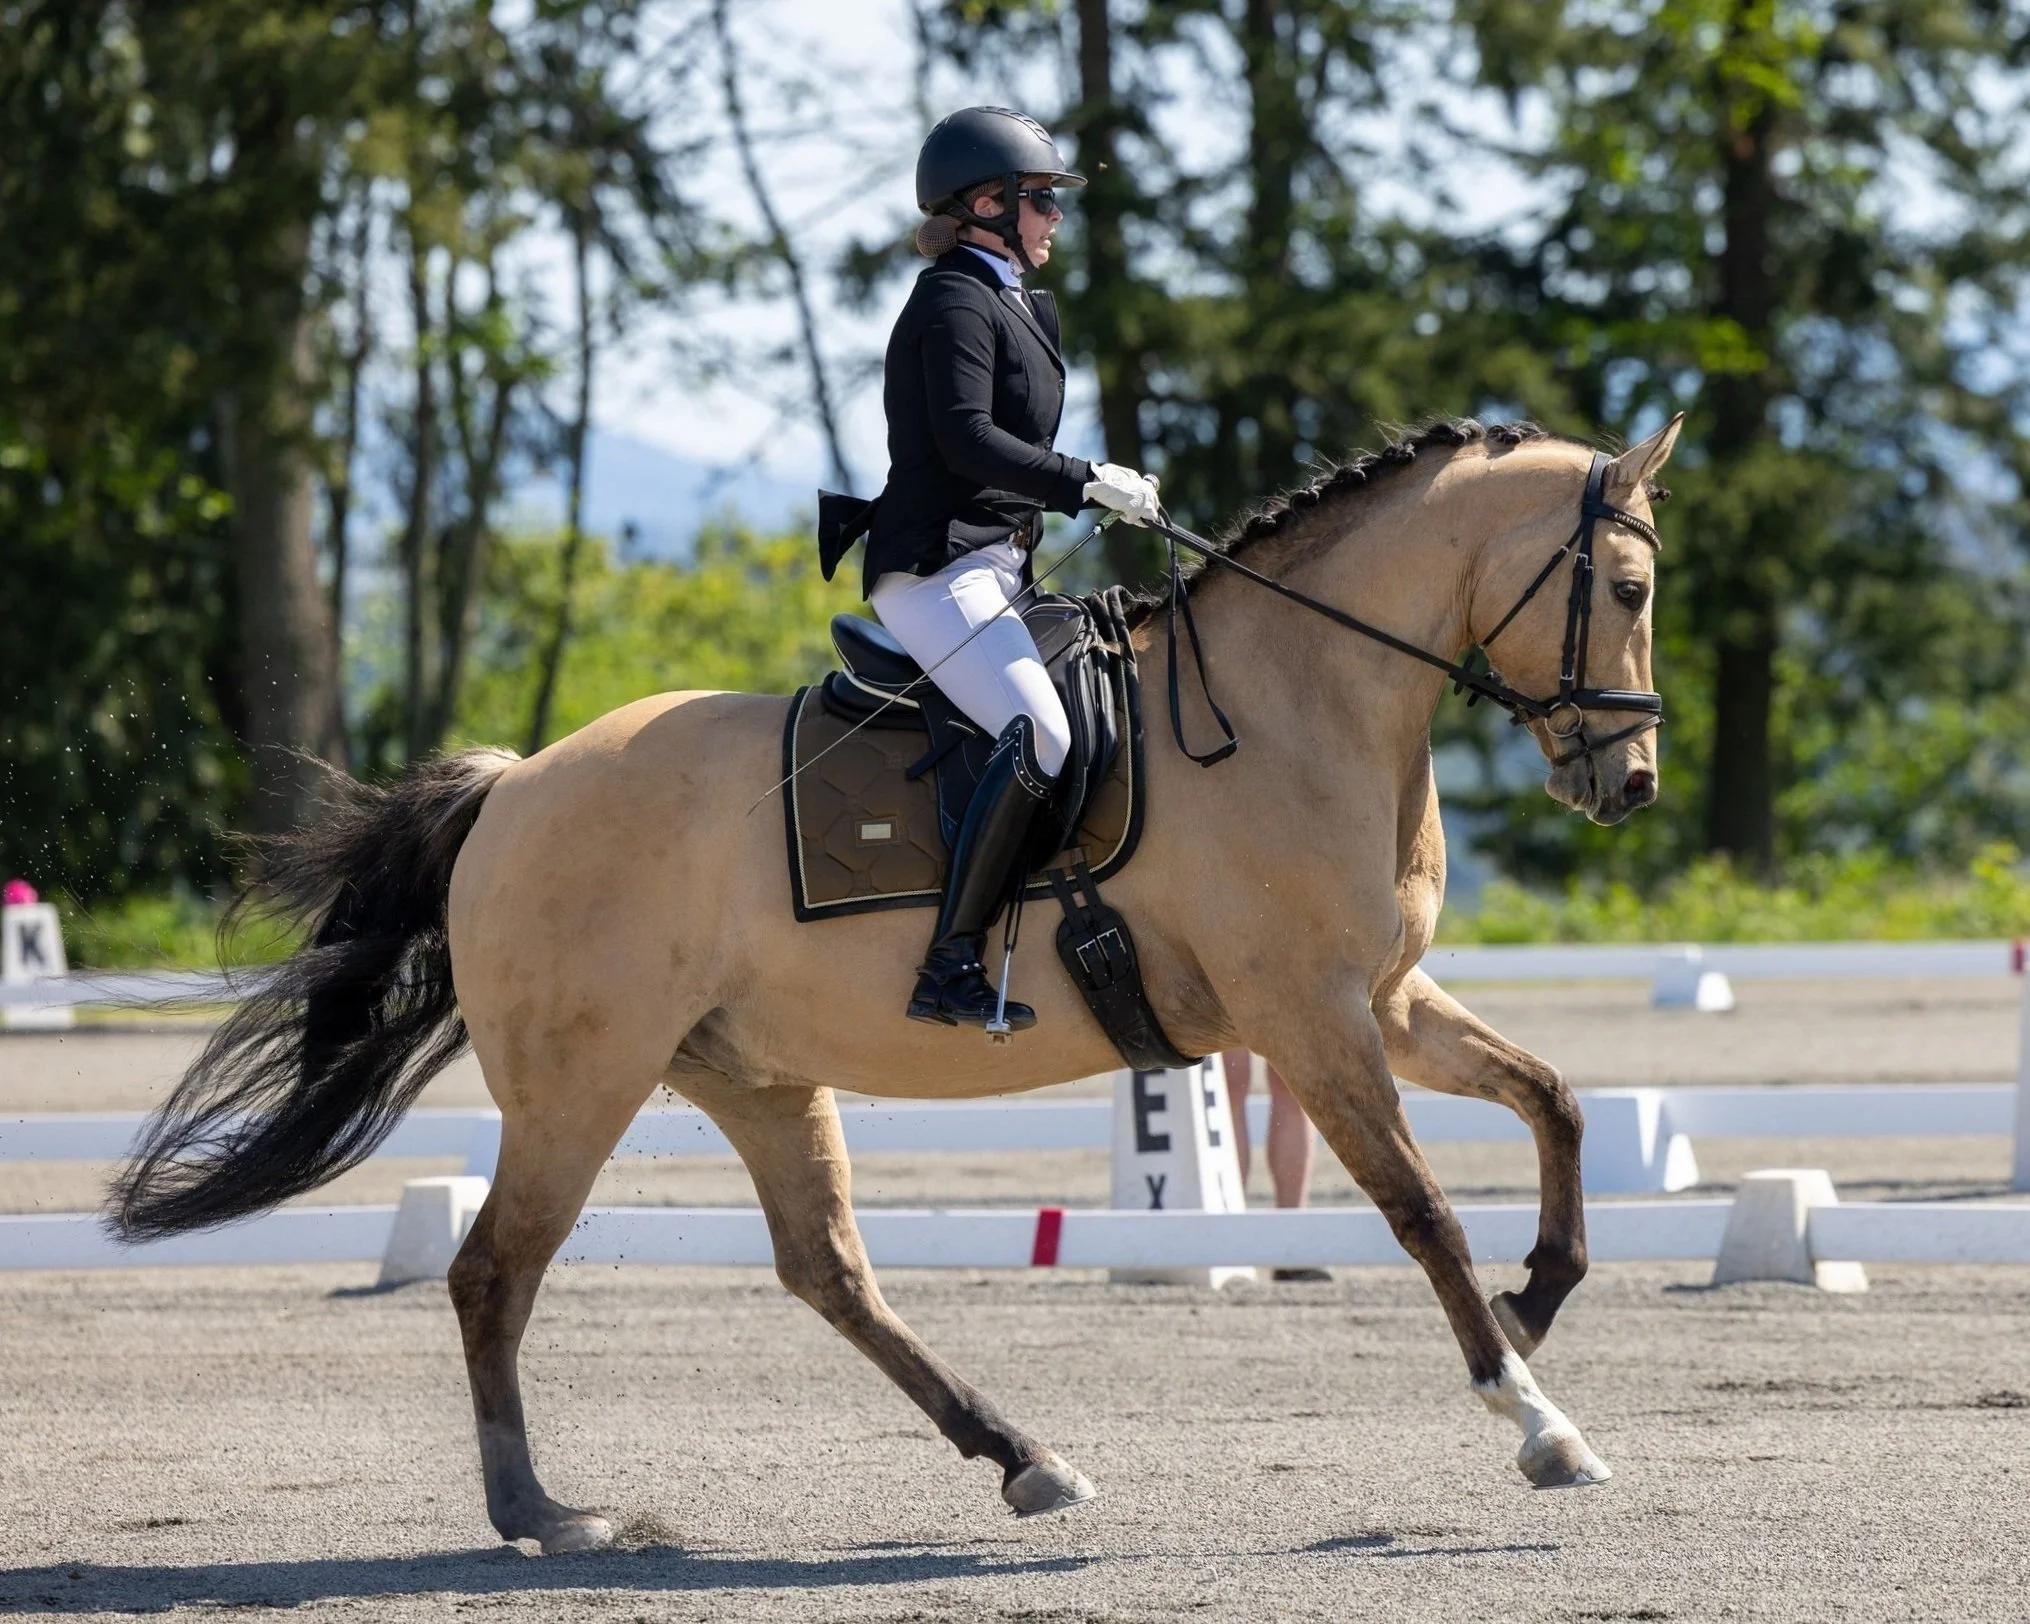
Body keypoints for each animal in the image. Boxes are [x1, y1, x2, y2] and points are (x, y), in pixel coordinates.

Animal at [112, 414, 1682, 1555]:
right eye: (1625, 588)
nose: (1629, 784)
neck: (1300, 703)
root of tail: (513, 786)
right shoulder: (1307, 1016)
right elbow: (1421, 1209)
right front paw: (1537, 1420)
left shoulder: (1384, 1001)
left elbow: (1553, 1100)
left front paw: (1537, 1298)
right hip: (579, 1086)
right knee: (494, 1271)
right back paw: (542, 1514)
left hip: (748, 1075)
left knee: (827, 1271)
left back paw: (1023, 1459)